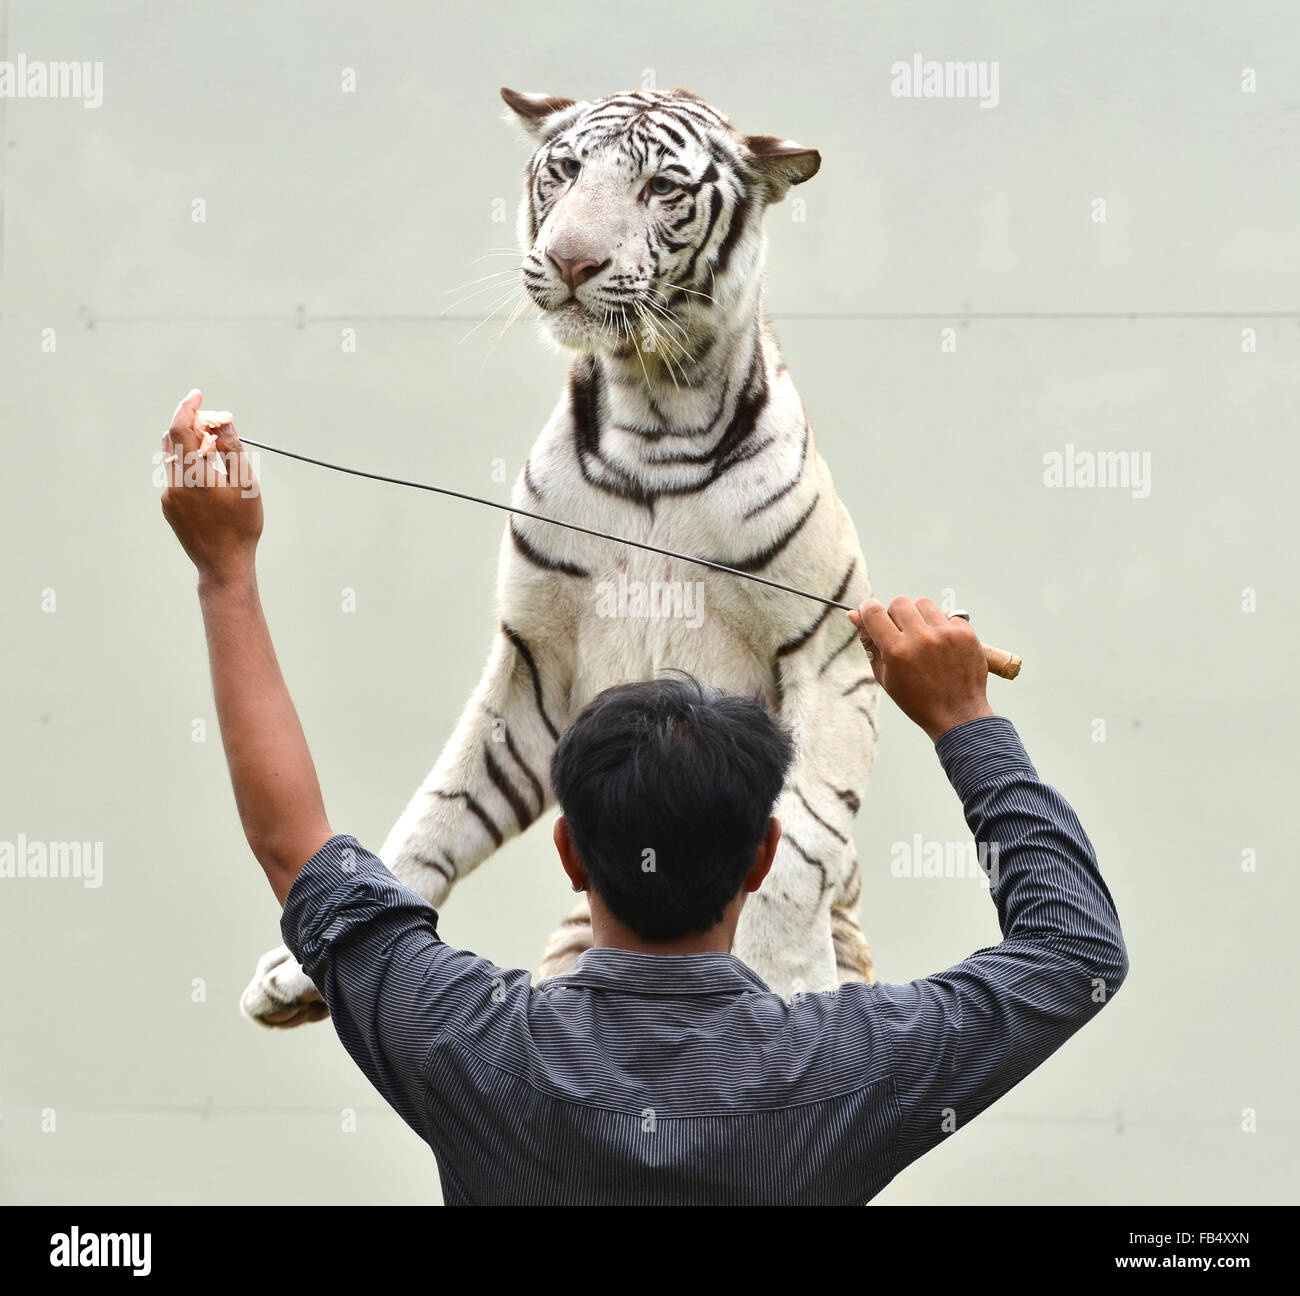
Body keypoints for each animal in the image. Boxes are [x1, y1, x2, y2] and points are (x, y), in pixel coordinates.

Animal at [241, 84, 880, 1026]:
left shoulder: (829, 655)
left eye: (661, 188)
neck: (654, 415)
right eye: (567, 170)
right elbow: (441, 808)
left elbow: (802, 841)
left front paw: (781, 973)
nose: (572, 261)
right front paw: (301, 966)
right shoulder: (537, 667)